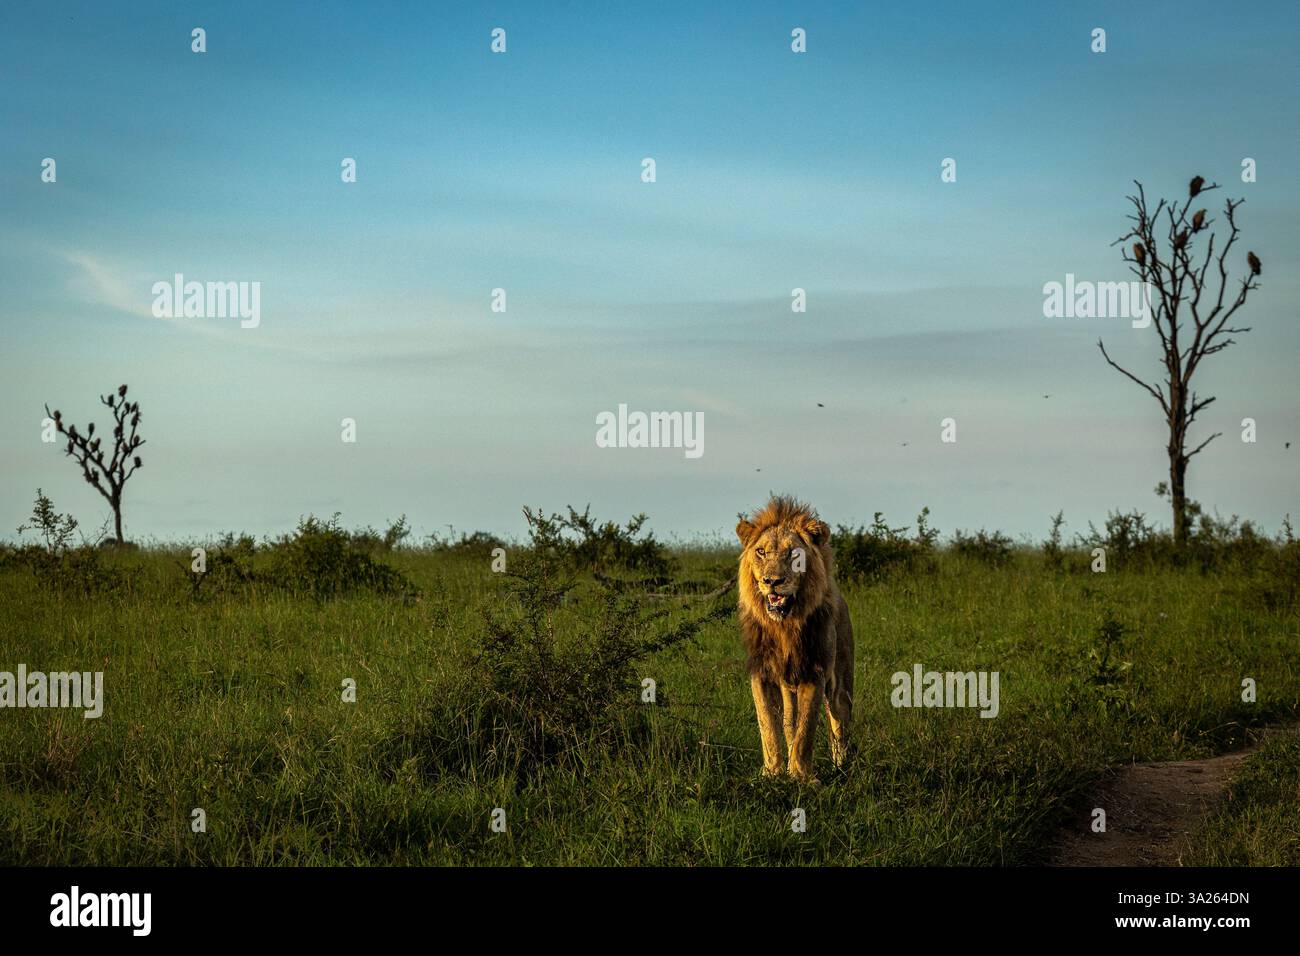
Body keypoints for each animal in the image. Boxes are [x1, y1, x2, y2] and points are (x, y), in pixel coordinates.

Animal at [735, 496, 853, 782]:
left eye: (793, 554)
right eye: (761, 552)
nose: (772, 581)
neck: (784, 627)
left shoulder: (815, 671)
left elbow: (805, 730)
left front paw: (802, 777)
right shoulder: (762, 673)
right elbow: (768, 725)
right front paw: (772, 773)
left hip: (841, 684)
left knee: (839, 721)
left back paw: (842, 767)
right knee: (789, 722)